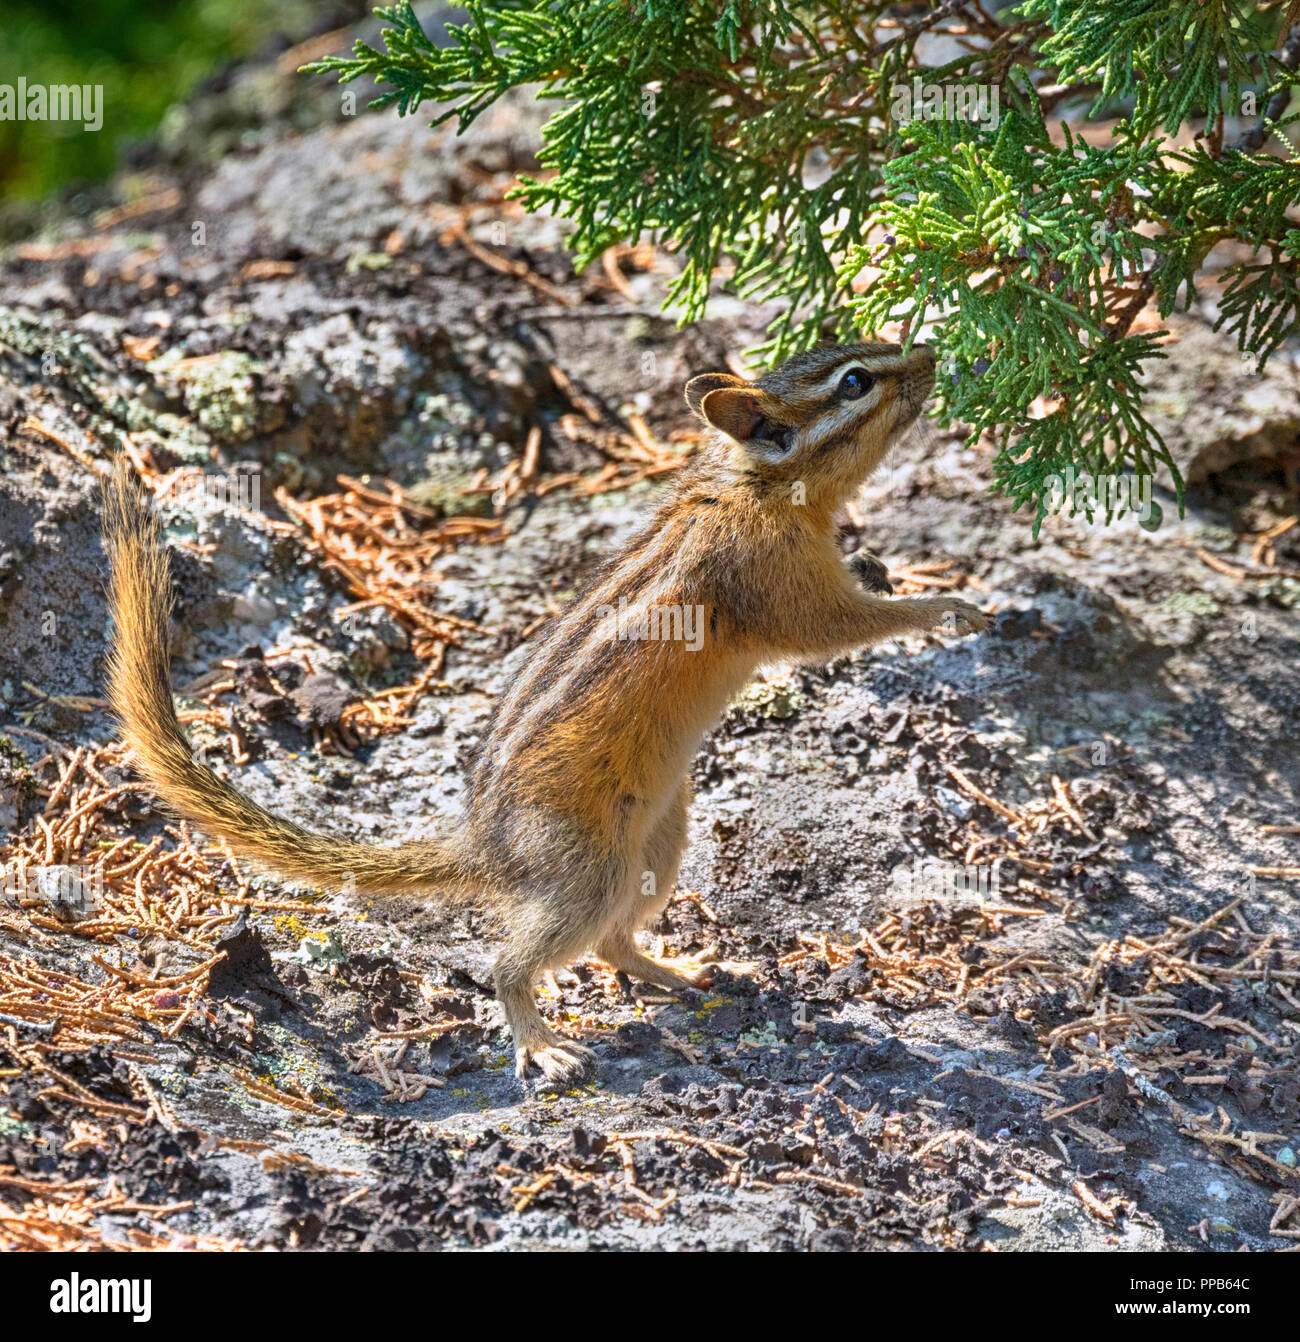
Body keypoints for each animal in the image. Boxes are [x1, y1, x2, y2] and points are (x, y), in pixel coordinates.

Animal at [103, 339, 989, 1087]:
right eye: (856, 381)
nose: (929, 355)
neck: (754, 487)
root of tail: (485, 845)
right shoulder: (781, 588)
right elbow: (844, 627)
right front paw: (948, 605)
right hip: (586, 869)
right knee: (514, 960)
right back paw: (540, 1044)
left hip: (658, 844)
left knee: (615, 943)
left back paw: (684, 970)